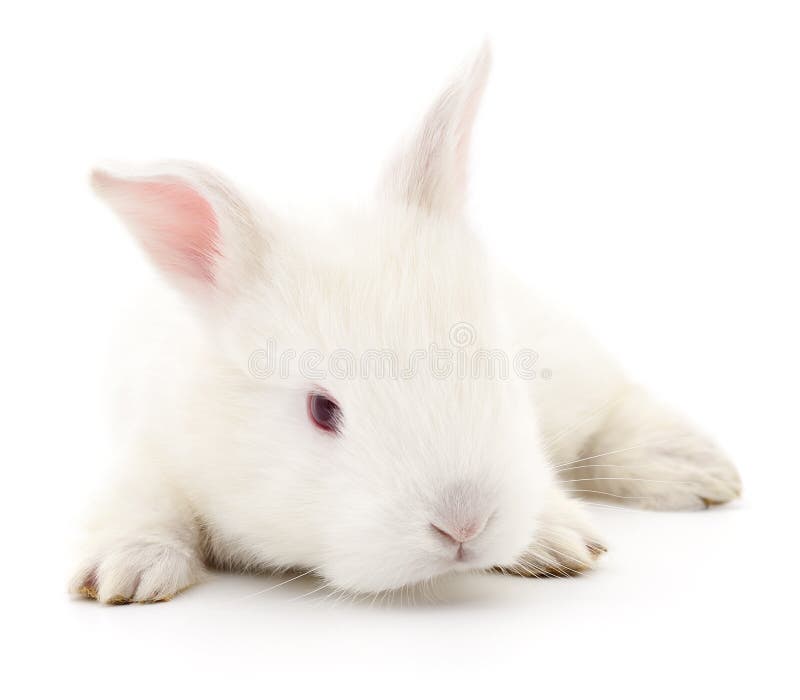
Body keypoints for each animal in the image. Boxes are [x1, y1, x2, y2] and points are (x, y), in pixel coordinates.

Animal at [70, 44, 741, 604]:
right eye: (322, 410)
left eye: (499, 368)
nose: (463, 525)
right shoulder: (152, 448)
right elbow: (140, 503)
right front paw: (128, 571)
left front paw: (557, 538)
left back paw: (697, 469)